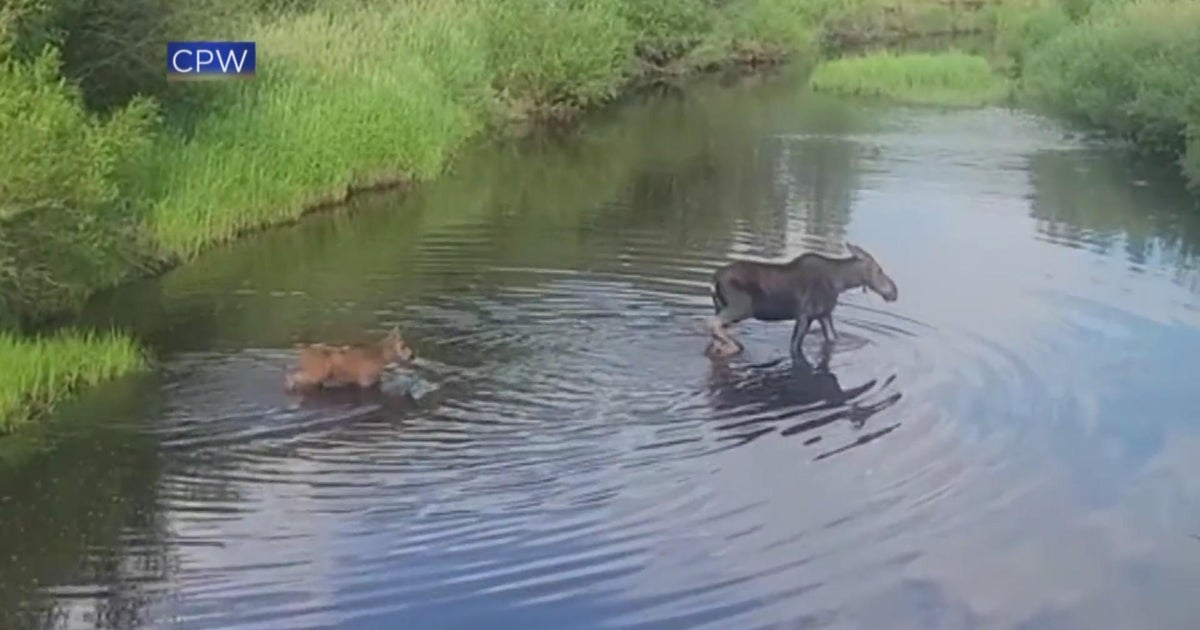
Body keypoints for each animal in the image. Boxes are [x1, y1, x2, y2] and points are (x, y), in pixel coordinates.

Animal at [284, 327, 416, 392]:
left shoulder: (375, 381)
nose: (413, 355)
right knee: (292, 375)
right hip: (316, 374)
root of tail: (304, 350)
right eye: (403, 345)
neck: (382, 356)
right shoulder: (365, 382)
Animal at [706, 242, 898, 359]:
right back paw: (734, 346)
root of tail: (714, 280)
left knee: (714, 336)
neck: (840, 282)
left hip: (722, 307)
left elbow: (833, 338)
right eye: (879, 270)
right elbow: (795, 347)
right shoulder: (805, 315)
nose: (894, 291)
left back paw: (723, 348)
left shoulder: (824, 314)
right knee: (712, 323)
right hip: (741, 307)